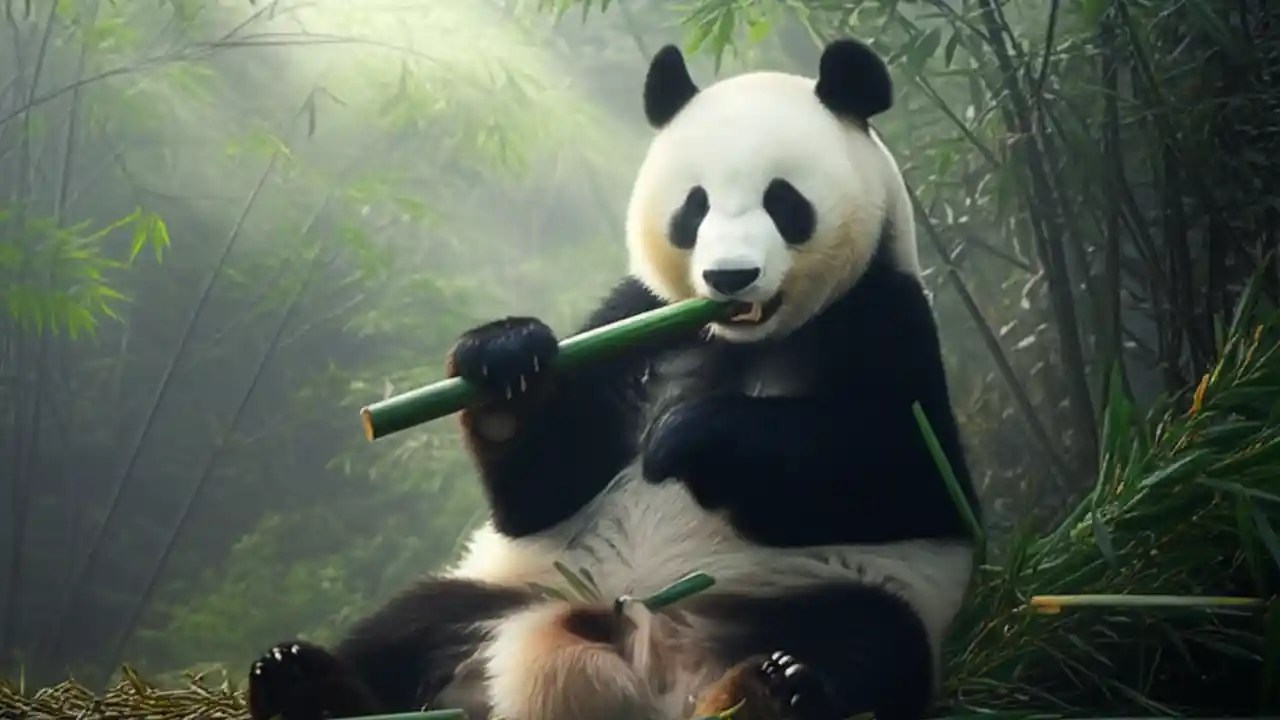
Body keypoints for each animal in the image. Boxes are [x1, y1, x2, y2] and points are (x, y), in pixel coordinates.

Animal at [246, 37, 979, 720]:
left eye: (783, 201)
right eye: (694, 208)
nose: (730, 277)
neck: (737, 339)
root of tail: (638, 653)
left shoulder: (886, 318)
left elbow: (911, 476)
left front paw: (690, 436)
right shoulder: (635, 318)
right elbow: (544, 490)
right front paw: (505, 362)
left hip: (795, 595)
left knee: (869, 641)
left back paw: (773, 689)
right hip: (515, 588)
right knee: (410, 625)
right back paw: (299, 681)